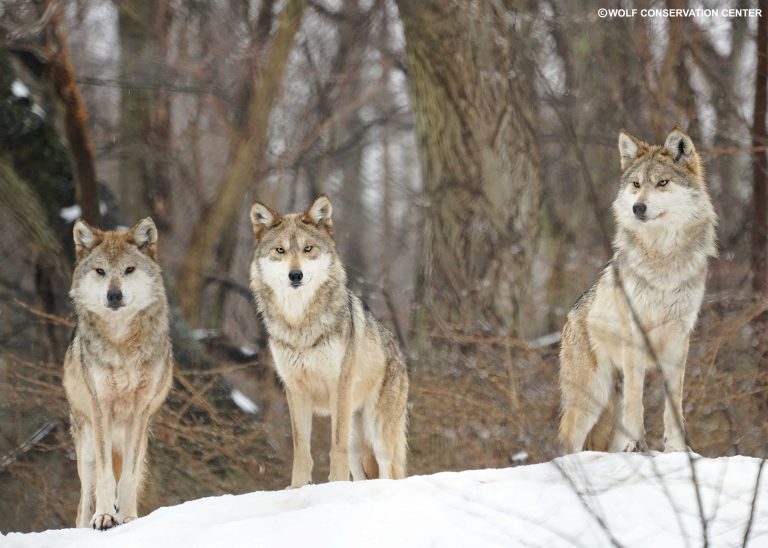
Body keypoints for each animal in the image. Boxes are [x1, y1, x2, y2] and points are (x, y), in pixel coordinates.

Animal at [63, 218, 173, 529]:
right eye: (100, 271)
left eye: (129, 270)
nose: (114, 294)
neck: (122, 342)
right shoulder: (102, 407)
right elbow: (105, 479)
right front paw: (105, 516)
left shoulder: (140, 411)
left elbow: (127, 479)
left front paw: (128, 517)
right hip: (87, 446)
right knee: (83, 501)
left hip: (136, 440)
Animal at [249, 195, 408, 486]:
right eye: (280, 250)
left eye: (308, 248)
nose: (295, 275)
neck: (300, 324)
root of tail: (400, 354)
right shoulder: (295, 389)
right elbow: (301, 449)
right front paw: (298, 487)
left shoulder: (339, 385)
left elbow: (336, 447)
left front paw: (335, 484)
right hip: (359, 444)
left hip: (377, 433)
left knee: (389, 471)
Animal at [558, 128, 717, 454]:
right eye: (636, 184)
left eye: (662, 183)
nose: (638, 207)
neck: (663, 260)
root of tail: (570, 317)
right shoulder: (635, 339)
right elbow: (637, 400)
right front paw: (638, 447)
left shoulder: (679, 340)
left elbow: (674, 405)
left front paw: (677, 450)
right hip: (591, 396)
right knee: (569, 442)